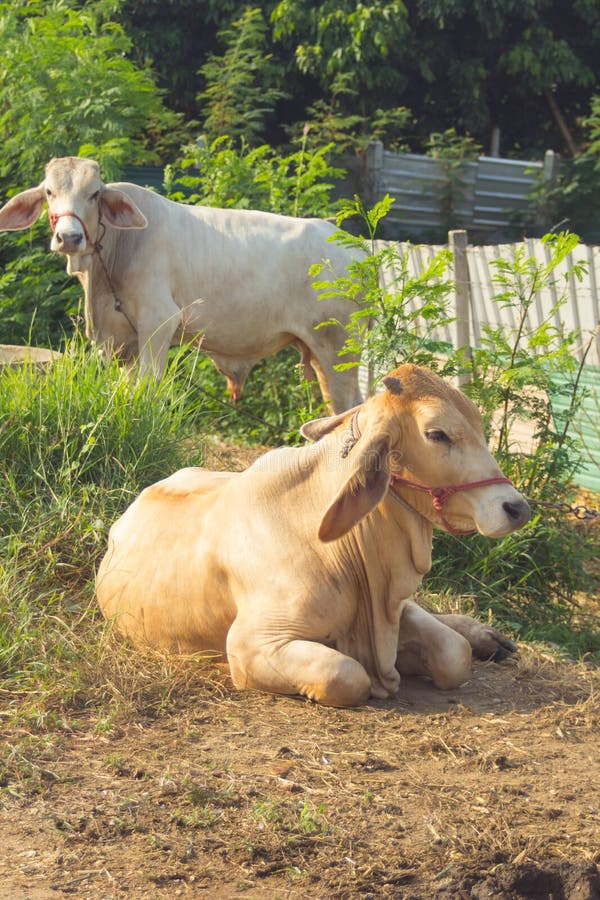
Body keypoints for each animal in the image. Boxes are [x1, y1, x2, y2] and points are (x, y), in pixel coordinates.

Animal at [0, 156, 364, 412]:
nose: (69, 237)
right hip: (321, 352)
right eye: (49, 192)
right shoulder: (124, 341)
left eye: (94, 194)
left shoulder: (159, 322)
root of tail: (354, 247)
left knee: (350, 409)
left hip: (338, 349)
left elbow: (146, 388)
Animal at [96, 364, 531, 707]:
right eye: (437, 433)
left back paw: (488, 637)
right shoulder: (251, 645)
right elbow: (345, 674)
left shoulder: (394, 606)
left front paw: (469, 640)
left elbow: (454, 654)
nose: (517, 508)